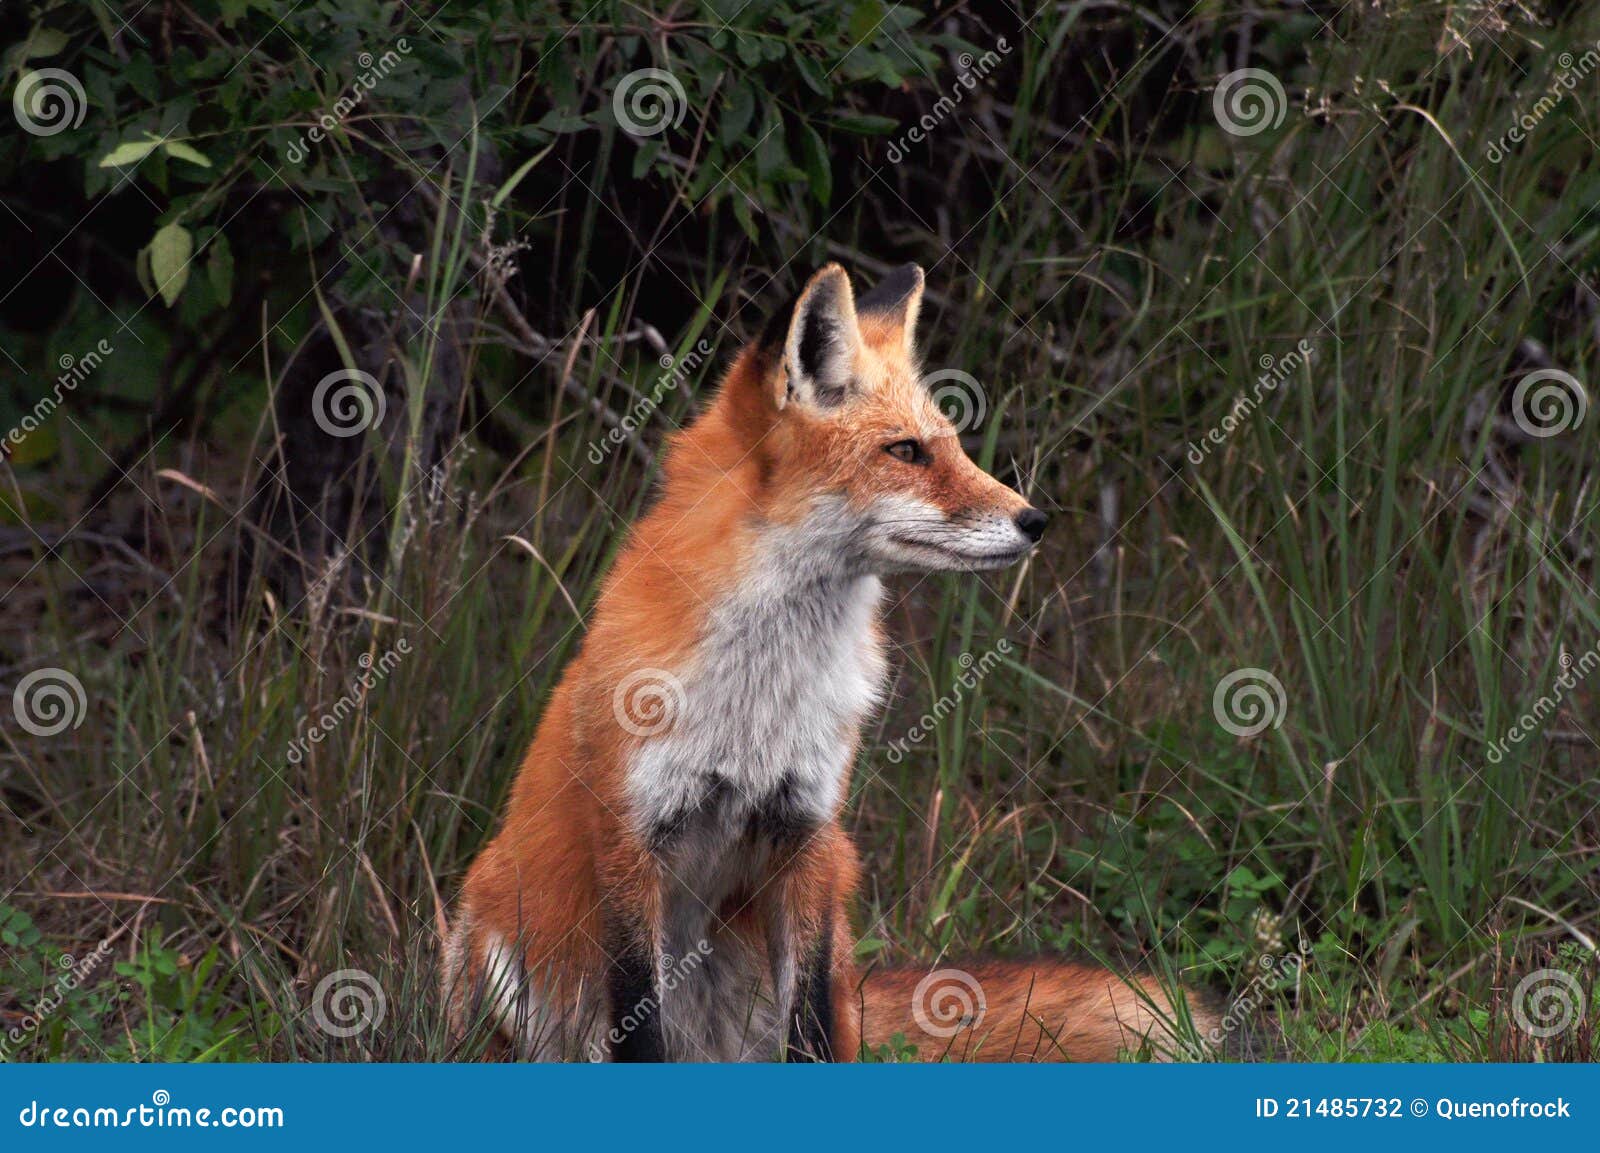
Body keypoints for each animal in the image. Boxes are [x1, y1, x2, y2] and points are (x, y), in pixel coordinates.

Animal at [441, 262, 1219, 1061]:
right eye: (905, 451)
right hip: (489, 952)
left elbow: (809, 1024)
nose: (1036, 520)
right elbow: (640, 1032)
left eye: (952, 445)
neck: (761, 695)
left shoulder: (807, 833)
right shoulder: (630, 843)